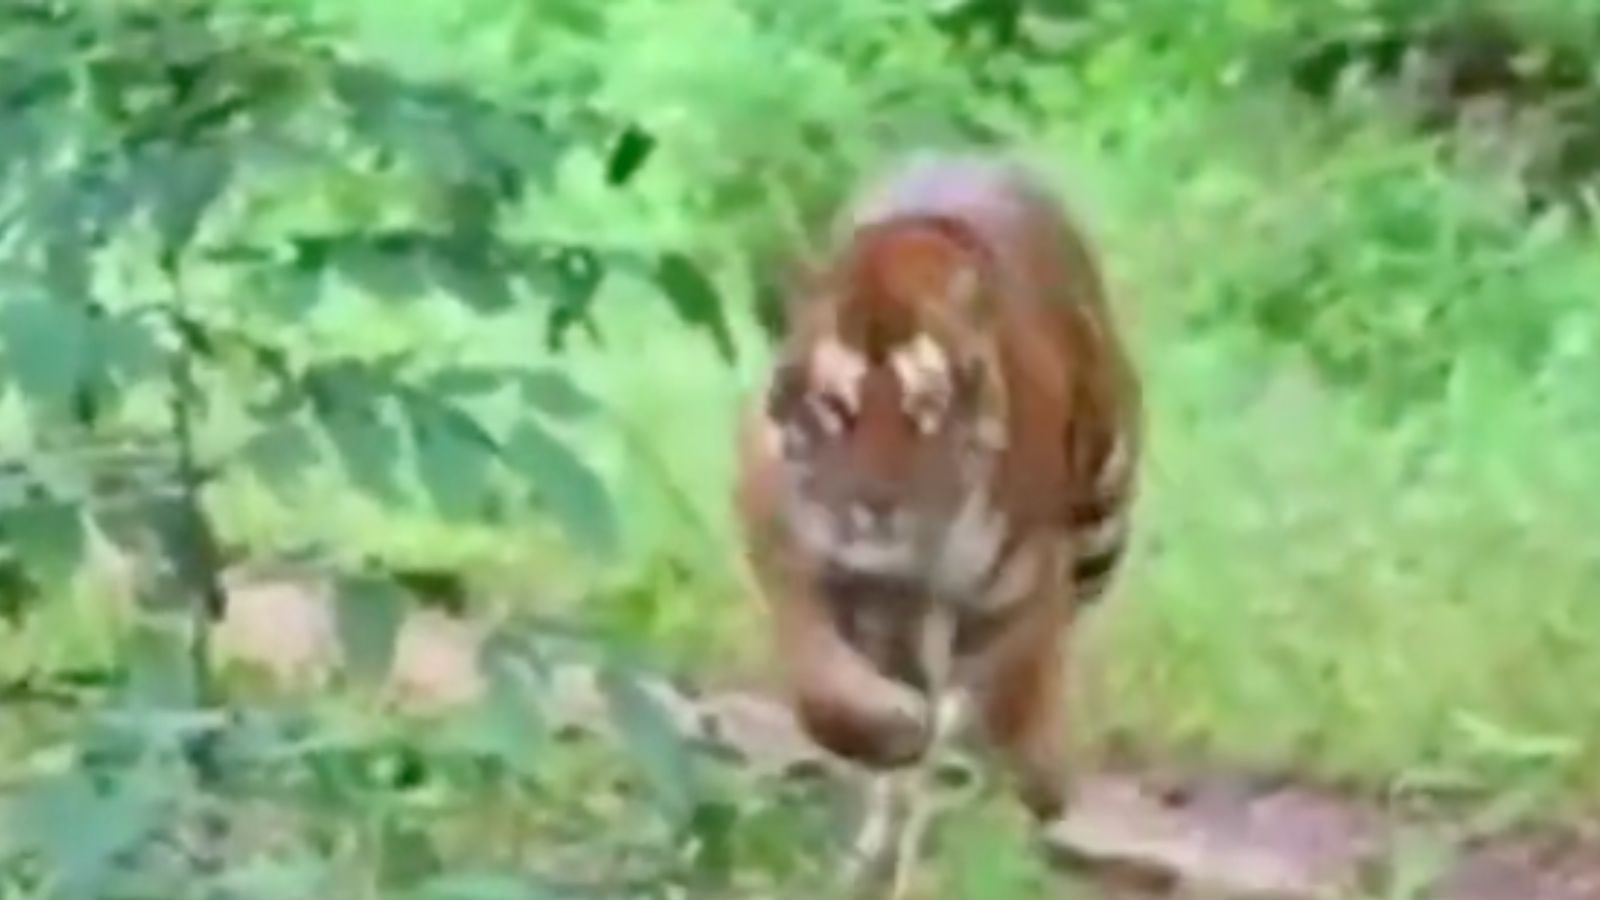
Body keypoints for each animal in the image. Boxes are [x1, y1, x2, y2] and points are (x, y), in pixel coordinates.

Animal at [732, 152, 1142, 896]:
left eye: (926, 404)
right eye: (835, 406)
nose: (878, 505)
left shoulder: (1027, 583)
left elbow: (1012, 698)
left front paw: (1021, 793)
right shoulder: (784, 549)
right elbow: (822, 692)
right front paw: (895, 732)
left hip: (1101, 525)